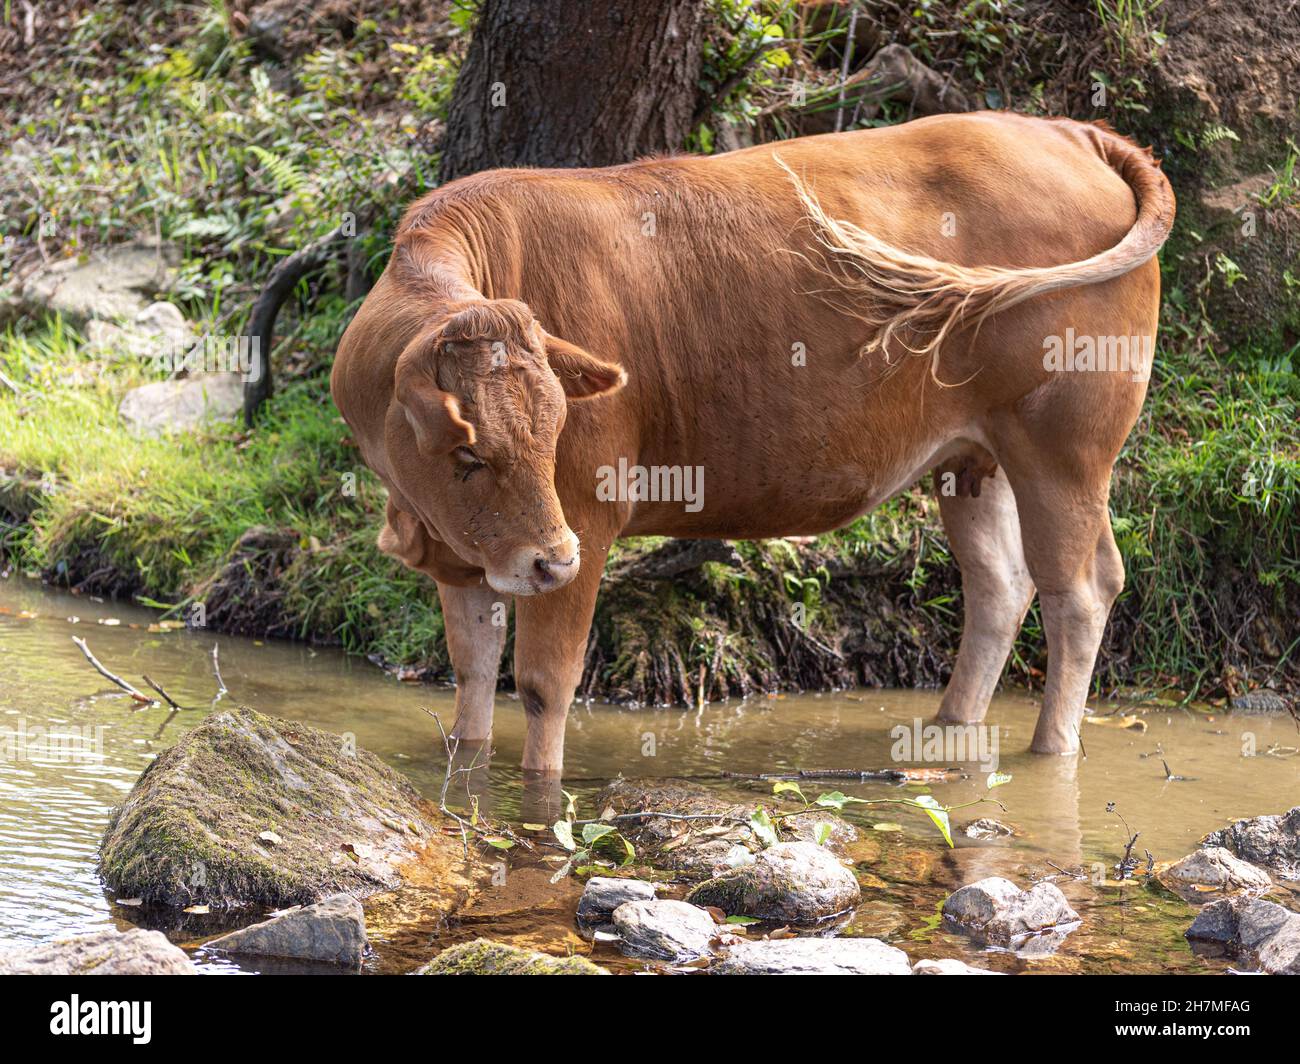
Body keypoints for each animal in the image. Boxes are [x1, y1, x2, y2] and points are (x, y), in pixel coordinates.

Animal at [331, 111, 1175, 777]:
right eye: (468, 456)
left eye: (555, 436)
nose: (551, 561)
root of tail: (1067, 131)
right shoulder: (467, 547)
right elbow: (472, 674)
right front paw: (467, 766)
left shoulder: (586, 519)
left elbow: (542, 684)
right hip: (974, 457)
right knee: (1000, 586)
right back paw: (952, 728)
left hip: (1065, 451)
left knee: (1080, 589)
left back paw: (1051, 749)